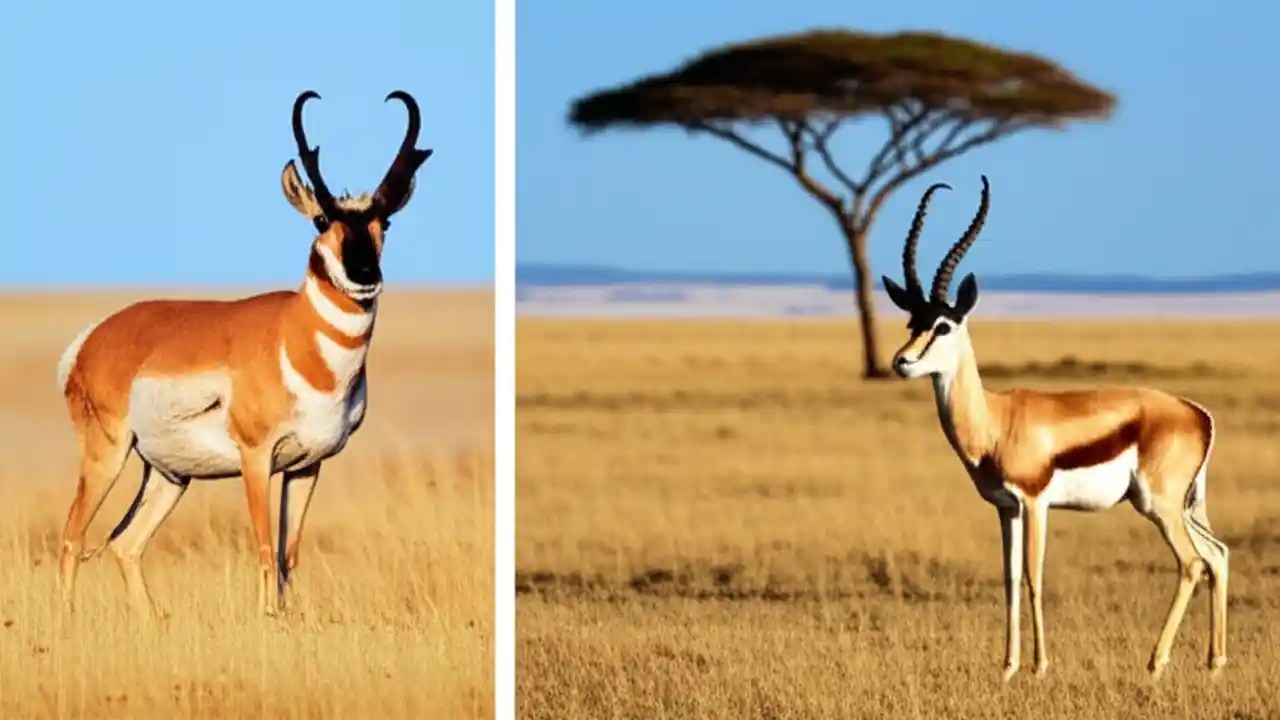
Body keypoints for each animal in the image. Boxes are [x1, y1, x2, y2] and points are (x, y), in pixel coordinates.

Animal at [56, 90, 433, 617]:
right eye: (322, 219)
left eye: (386, 221)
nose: (364, 275)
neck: (297, 341)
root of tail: (93, 337)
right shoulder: (256, 459)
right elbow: (263, 547)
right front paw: (267, 618)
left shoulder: (306, 465)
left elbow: (288, 554)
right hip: (107, 454)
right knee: (73, 536)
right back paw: (67, 621)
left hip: (169, 475)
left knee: (124, 543)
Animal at [881, 176, 1228, 681]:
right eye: (913, 321)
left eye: (944, 325)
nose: (901, 362)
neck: (996, 421)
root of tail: (1197, 412)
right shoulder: (1005, 508)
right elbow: (1008, 578)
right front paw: (1007, 667)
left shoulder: (1035, 502)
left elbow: (1034, 576)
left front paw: (1040, 666)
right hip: (1188, 505)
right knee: (1218, 554)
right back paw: (1214, 662)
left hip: (1158, 505)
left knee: (1191, 563)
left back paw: (1155, 662)